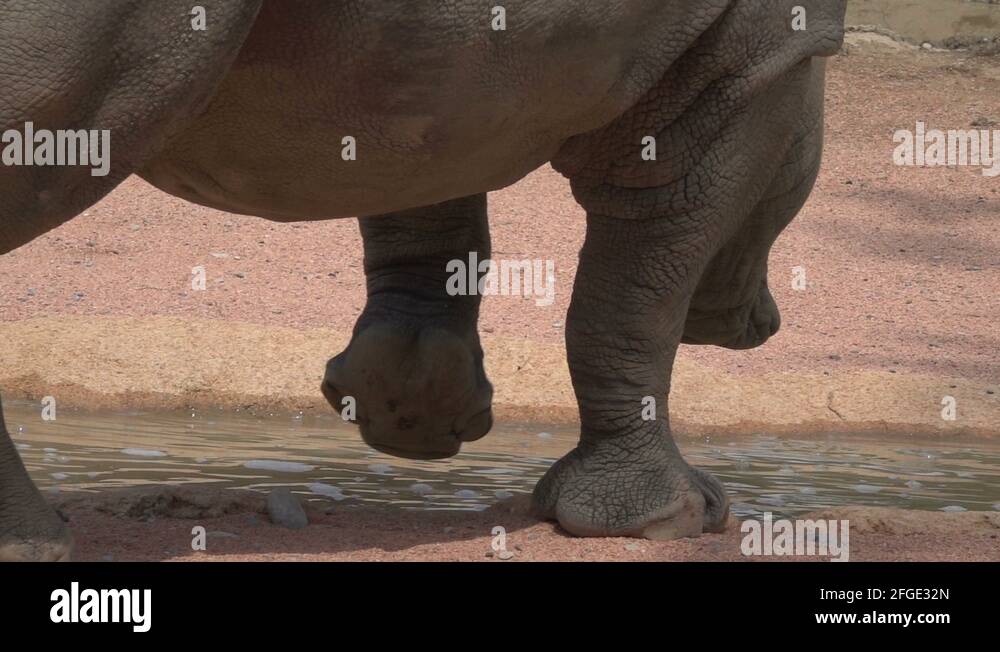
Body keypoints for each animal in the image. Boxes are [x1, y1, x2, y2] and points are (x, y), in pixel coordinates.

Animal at [0, 0, 847, 560]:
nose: (765, 323)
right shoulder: (760, 56)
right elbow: (634, 296)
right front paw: (677, 520)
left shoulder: (435, 67)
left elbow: (422, 167)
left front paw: (406, 416)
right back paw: (43, 545)